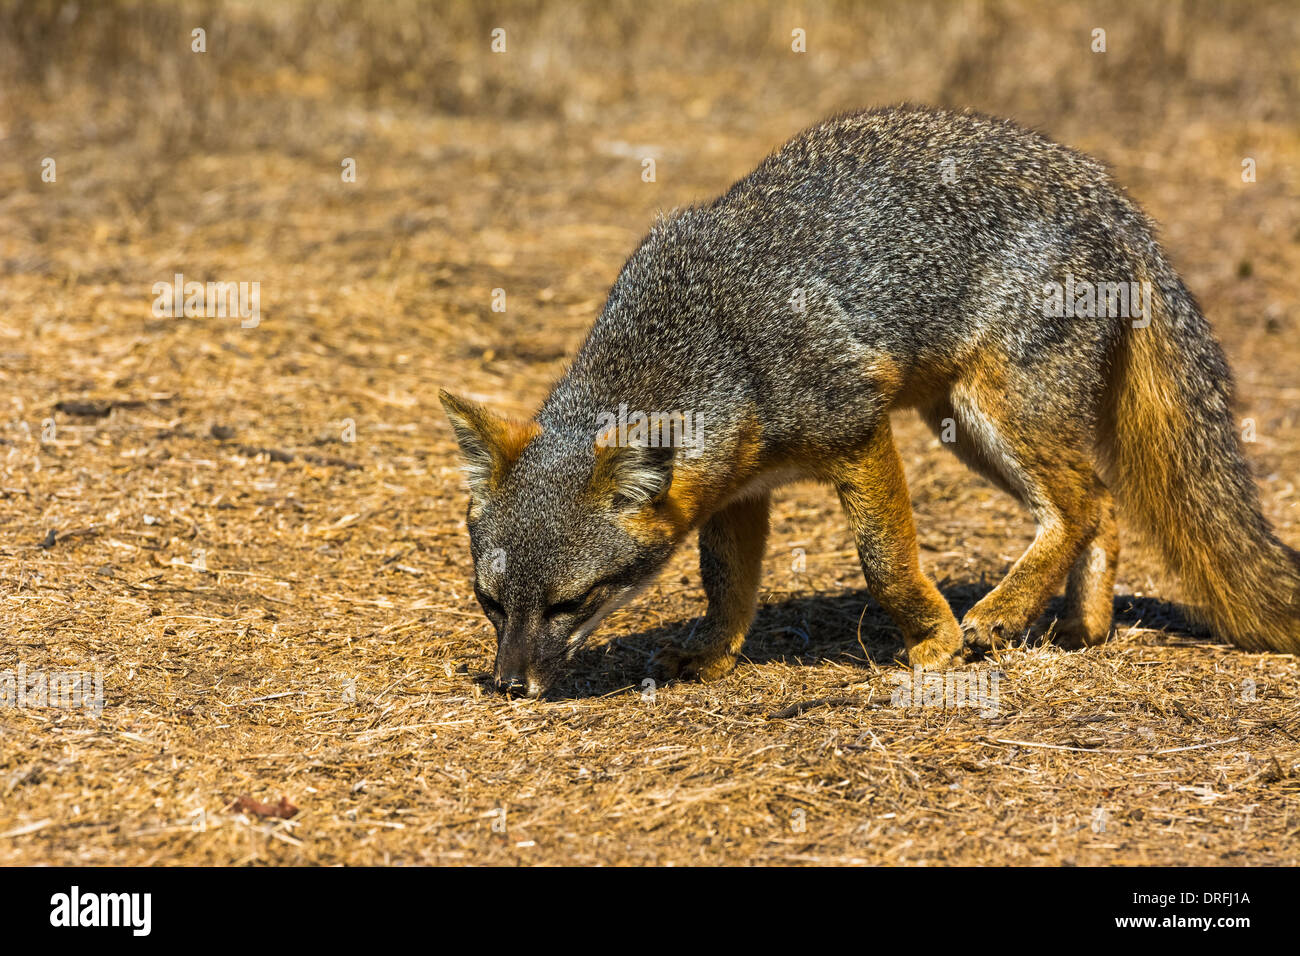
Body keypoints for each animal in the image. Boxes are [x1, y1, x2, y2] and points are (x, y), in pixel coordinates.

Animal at [441, 105, 1300, 697]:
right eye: (490, 603)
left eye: (570, 603)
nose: (508, 686)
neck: (715, 339)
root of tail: (1111, 194)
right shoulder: (736, 491)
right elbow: (726, 585)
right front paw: (715, 653)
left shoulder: (858, 431)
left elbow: (884, 563)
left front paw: (934, 642)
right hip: (964, 426)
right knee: (1100, 505)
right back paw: (1082, 624)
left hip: (990, 410)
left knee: (1083, 500)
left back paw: (998, 615)